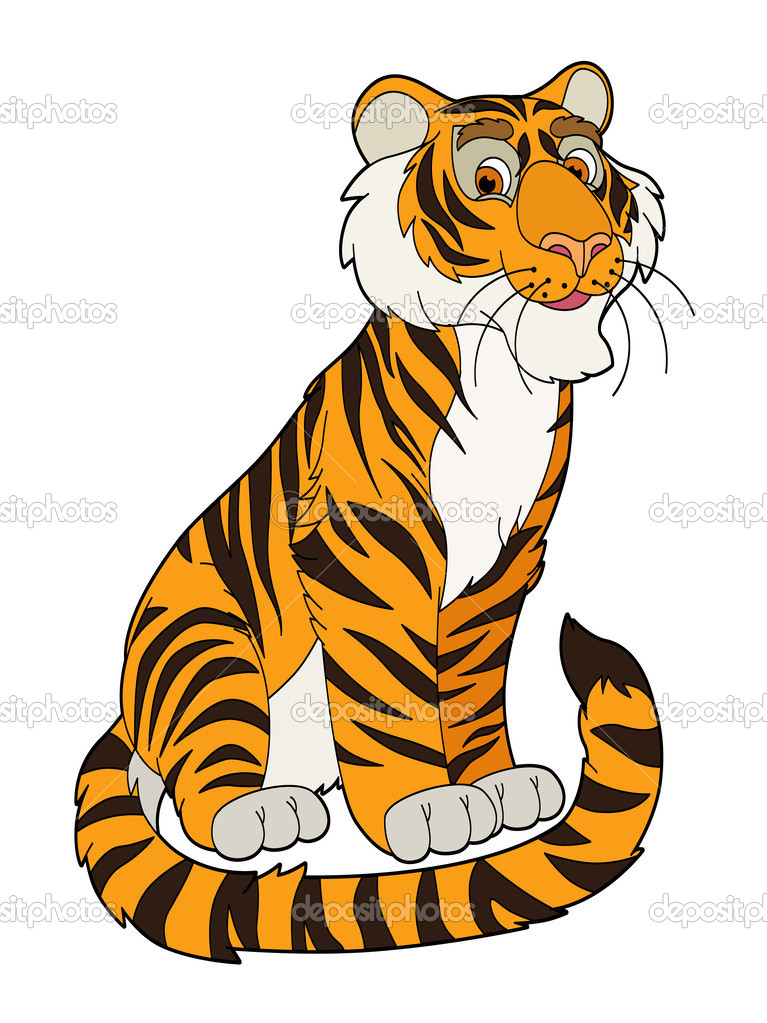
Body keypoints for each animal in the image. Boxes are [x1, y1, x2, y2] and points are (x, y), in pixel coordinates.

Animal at [75, 62, 665, 960]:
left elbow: (469, 688)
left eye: (584, 169)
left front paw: (497, 784)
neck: (510, 375)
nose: (585, 245)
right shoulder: (368, 550)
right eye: (490, 180)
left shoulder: (504, 567)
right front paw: (427, 809)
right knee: (208, 779)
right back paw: (263, 809)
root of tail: (129, 716)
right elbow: (391, 695)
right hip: (204, 635)